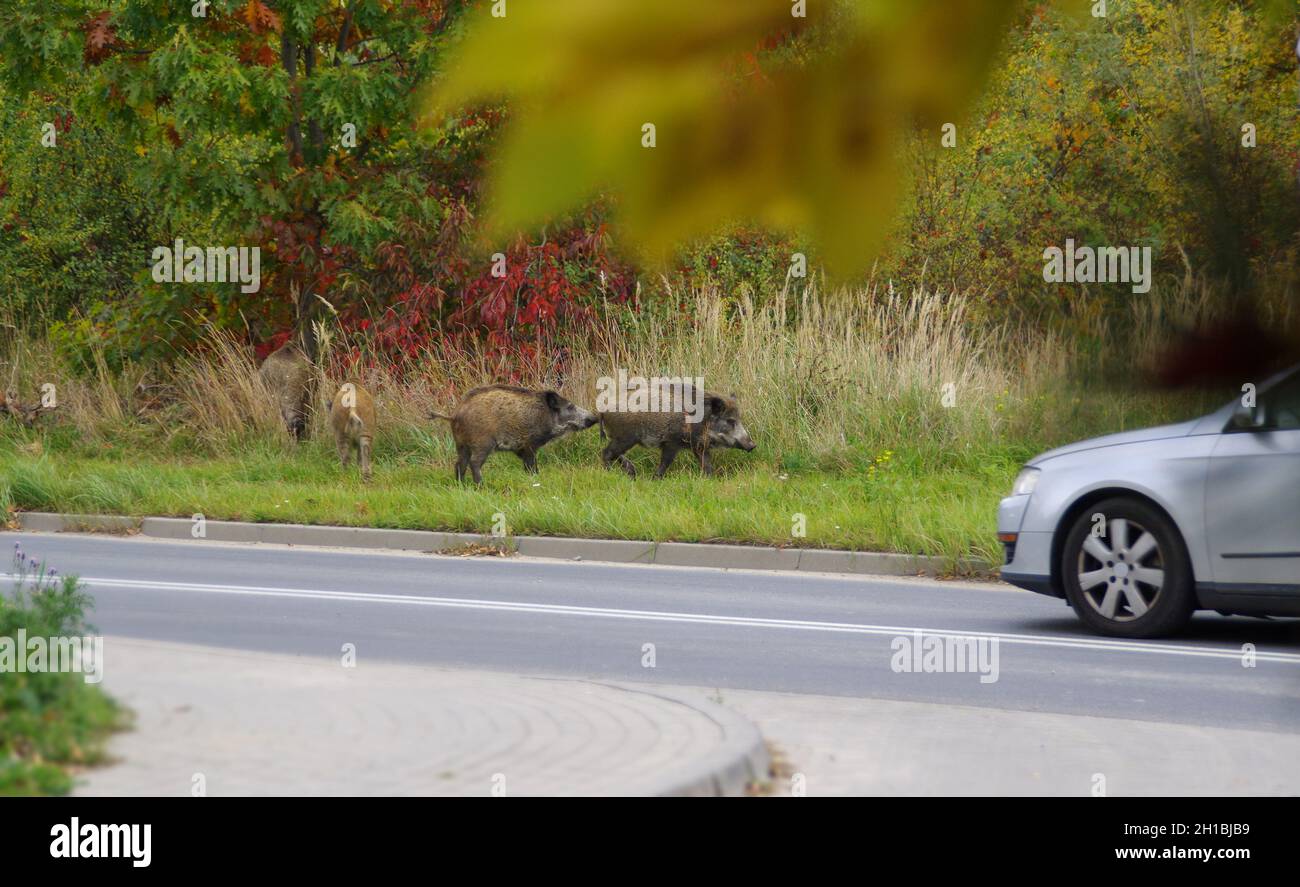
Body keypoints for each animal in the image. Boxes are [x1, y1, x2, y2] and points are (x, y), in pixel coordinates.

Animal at [432, 385, 598, 483]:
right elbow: (531, 465)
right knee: (474, 463)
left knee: (459, 463)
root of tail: (455, 414)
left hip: (461, 444)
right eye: (570, 406)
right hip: (482, 443)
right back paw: (480, 485)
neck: (544, 416)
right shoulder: (530, 444)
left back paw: (461, 485)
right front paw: (535, 478)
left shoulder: (520, 448)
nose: (595, 418)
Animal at [599, 390, 755, 478]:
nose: (753, 445)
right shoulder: (671, 442)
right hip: (625, 437)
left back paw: (631, 473)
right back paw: (610, 472)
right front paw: (655, 479)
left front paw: (711, 479)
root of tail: (601, 411)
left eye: (739, 418)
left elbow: (706, 464)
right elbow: (665, 463)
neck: (702, 421)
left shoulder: (699, 446)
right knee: (606, 452)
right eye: (730, 420)